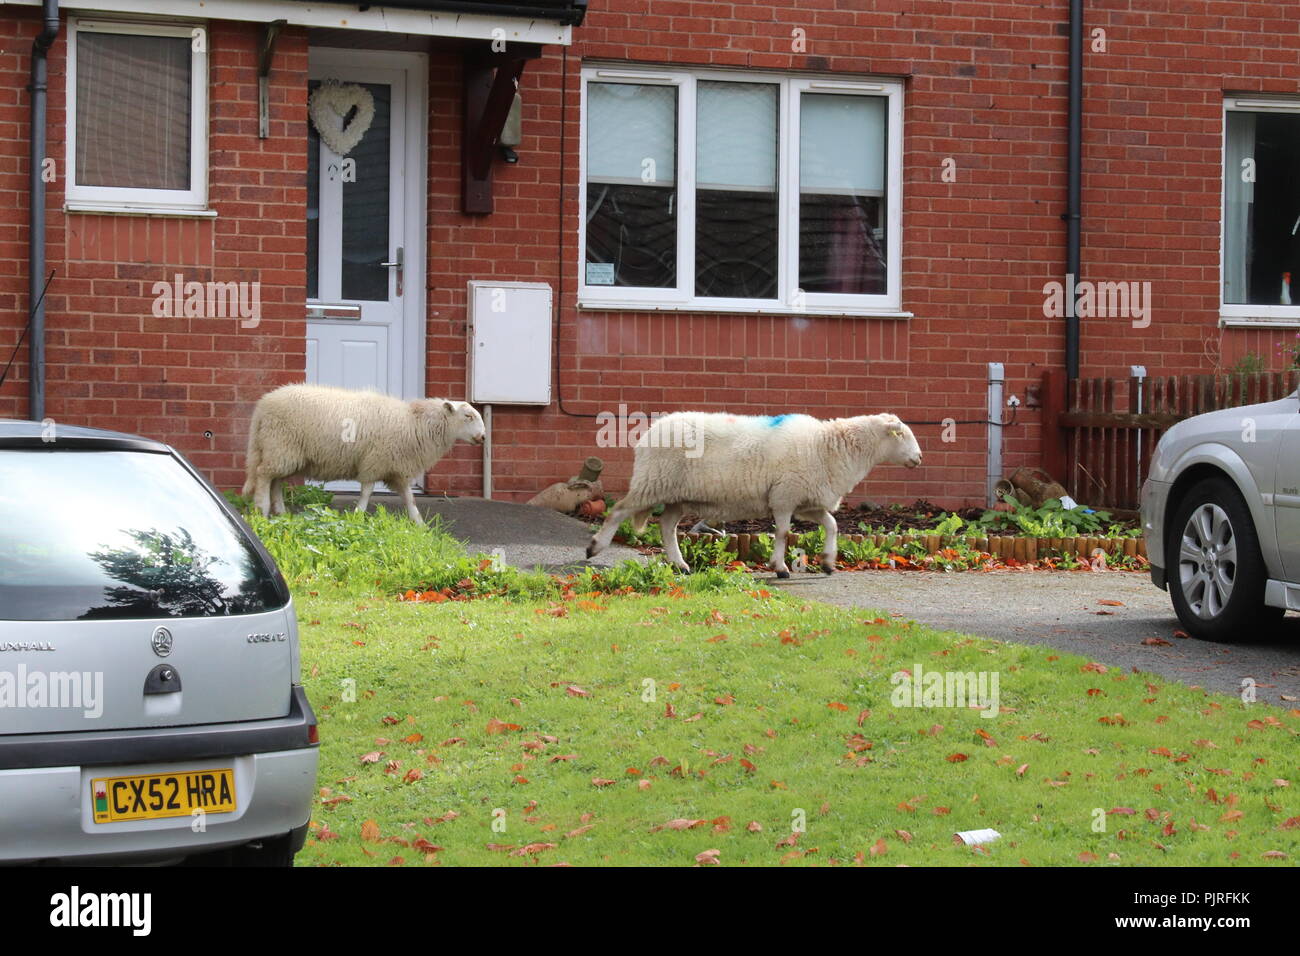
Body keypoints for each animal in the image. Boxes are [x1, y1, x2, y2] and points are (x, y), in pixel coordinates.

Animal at [241, 384, 485, 521]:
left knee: (275, 481)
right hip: (280, 447)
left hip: (281, 452)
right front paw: (358, 516)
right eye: (468, 416)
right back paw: (261, 509)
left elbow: (410, 498)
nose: (483, 437)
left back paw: (280, 512)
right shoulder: (375, 461)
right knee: (263, 475)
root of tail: (263, 405)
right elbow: (367, 491)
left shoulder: (398, 468)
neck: (413, 422)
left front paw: (419, 524)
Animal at [586, 411, 922, 577]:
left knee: (667, 527)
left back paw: (681, 565)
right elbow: (784, 533)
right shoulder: (785, 496)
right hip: (653, 481)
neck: (829, 447)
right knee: (619, 511)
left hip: (676, 495)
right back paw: (595, 547)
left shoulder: (806, 500)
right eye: (902, 434)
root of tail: (649, 433)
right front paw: (780, 568)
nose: (919, 458)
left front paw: (828, 562)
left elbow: (832, 525)